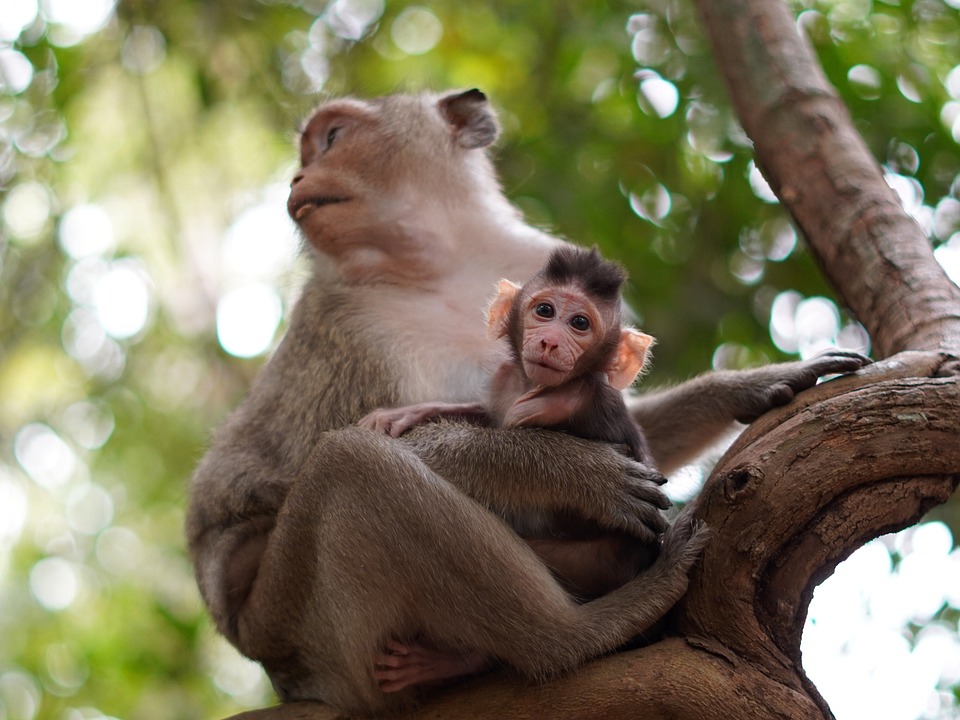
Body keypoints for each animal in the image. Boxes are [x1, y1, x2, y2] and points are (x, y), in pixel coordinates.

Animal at [186, 88, 870, 714]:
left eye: (331, 139)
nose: (298, 177)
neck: (432, 267)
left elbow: (618, 416)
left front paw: (751, 384)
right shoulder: (346, 334)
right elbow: (373, 438)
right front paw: (578, 473)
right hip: (315, 636)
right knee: (351, 467)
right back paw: (580, 633)